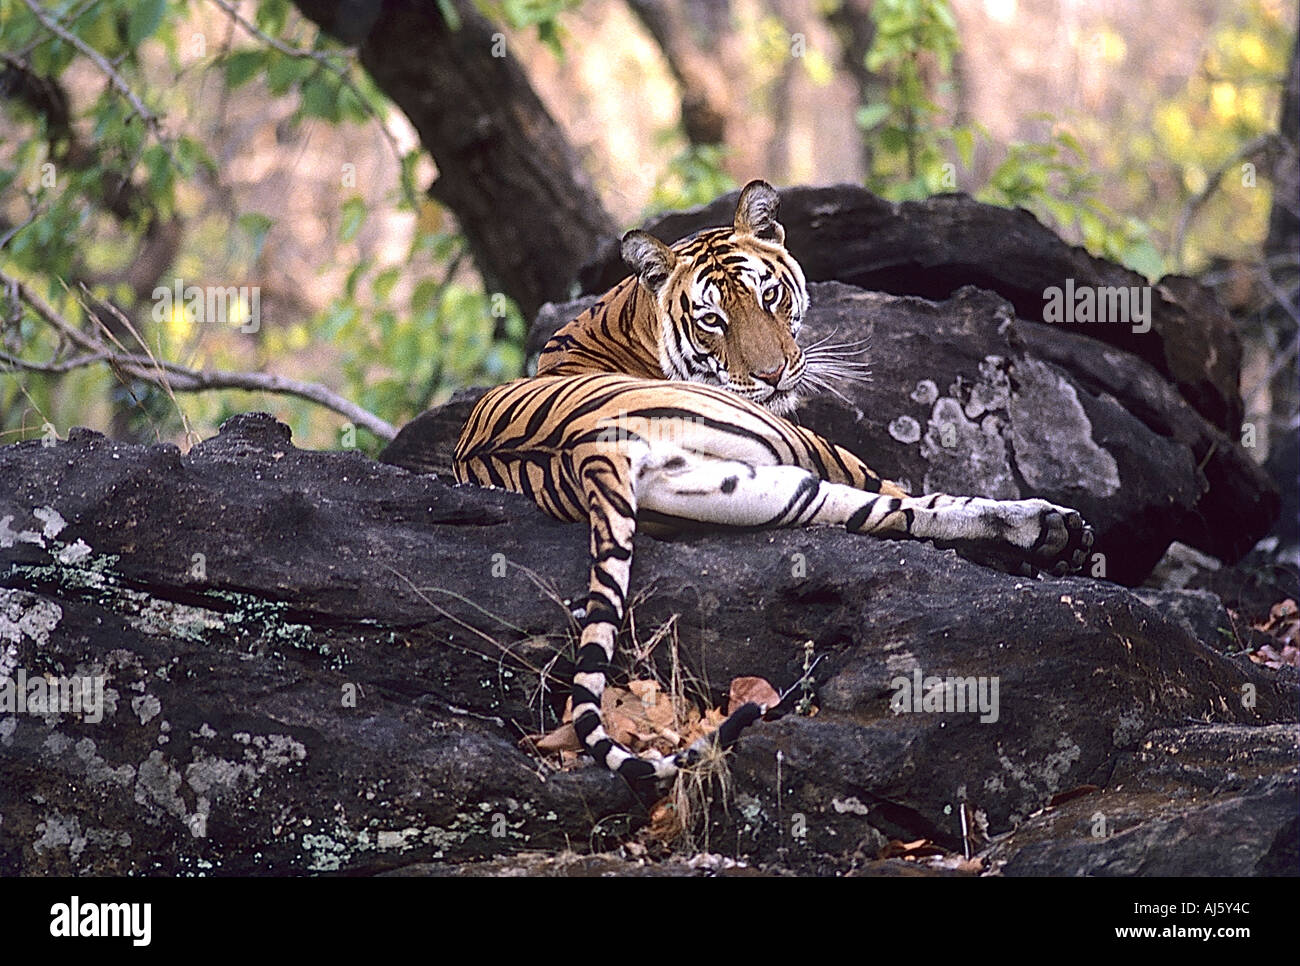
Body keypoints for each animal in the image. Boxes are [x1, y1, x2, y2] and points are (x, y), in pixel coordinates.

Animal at [453, 180, 1093, 786]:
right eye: (712, 320)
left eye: (769, 295)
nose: (775, 374)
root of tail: (595, 447)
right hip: (808, 454)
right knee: (911, 504)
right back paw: (1052, 529)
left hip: (777, 491)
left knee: (894, 516)